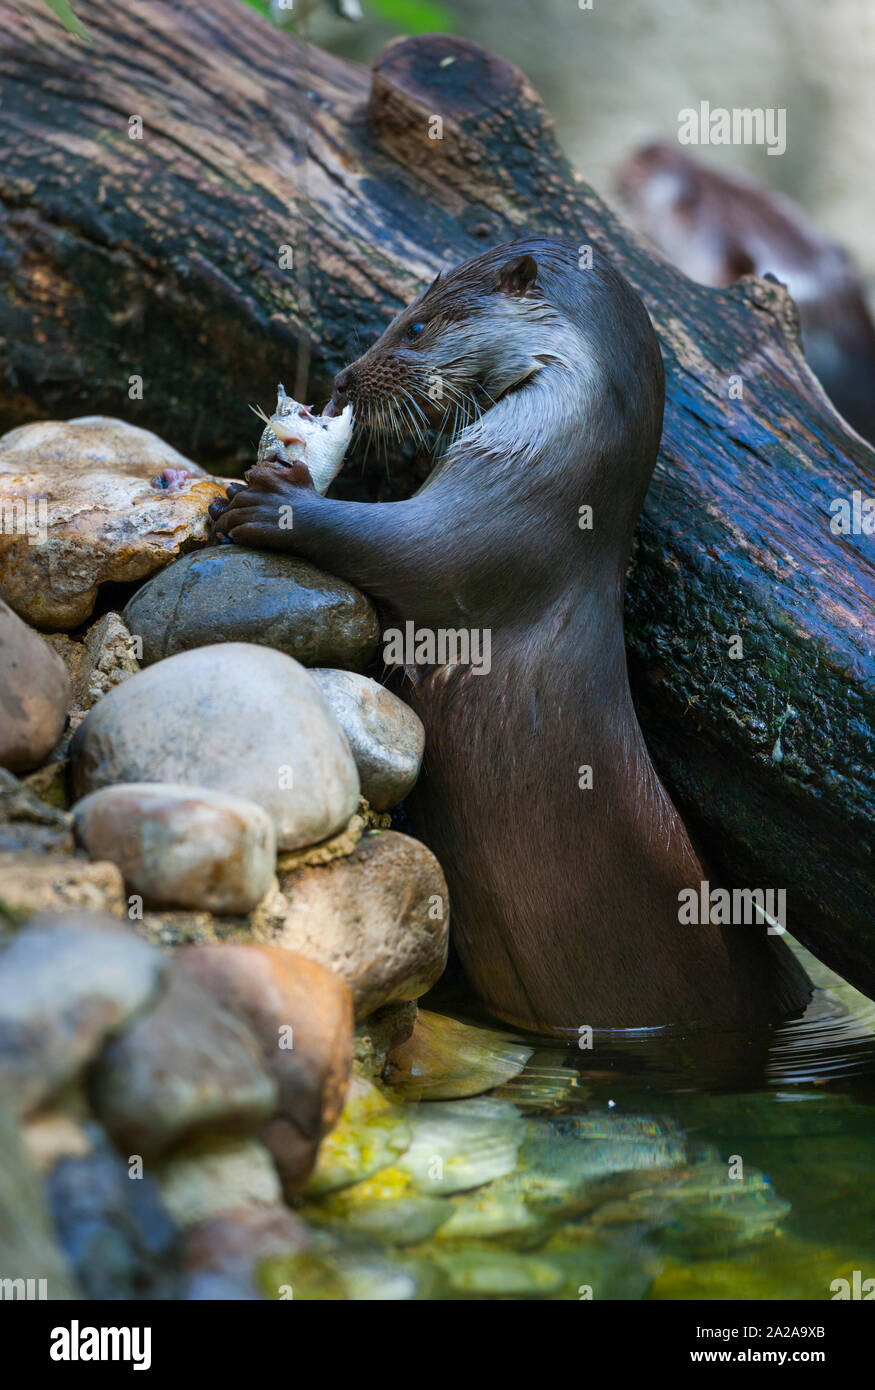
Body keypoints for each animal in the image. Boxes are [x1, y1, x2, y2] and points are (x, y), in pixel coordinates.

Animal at [211, 237, 810, 1035]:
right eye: (405, 310)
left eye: (417, 327)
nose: (341, 378)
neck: (554, 478)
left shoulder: (496, 531)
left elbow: (407, 553)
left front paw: (272, 497)